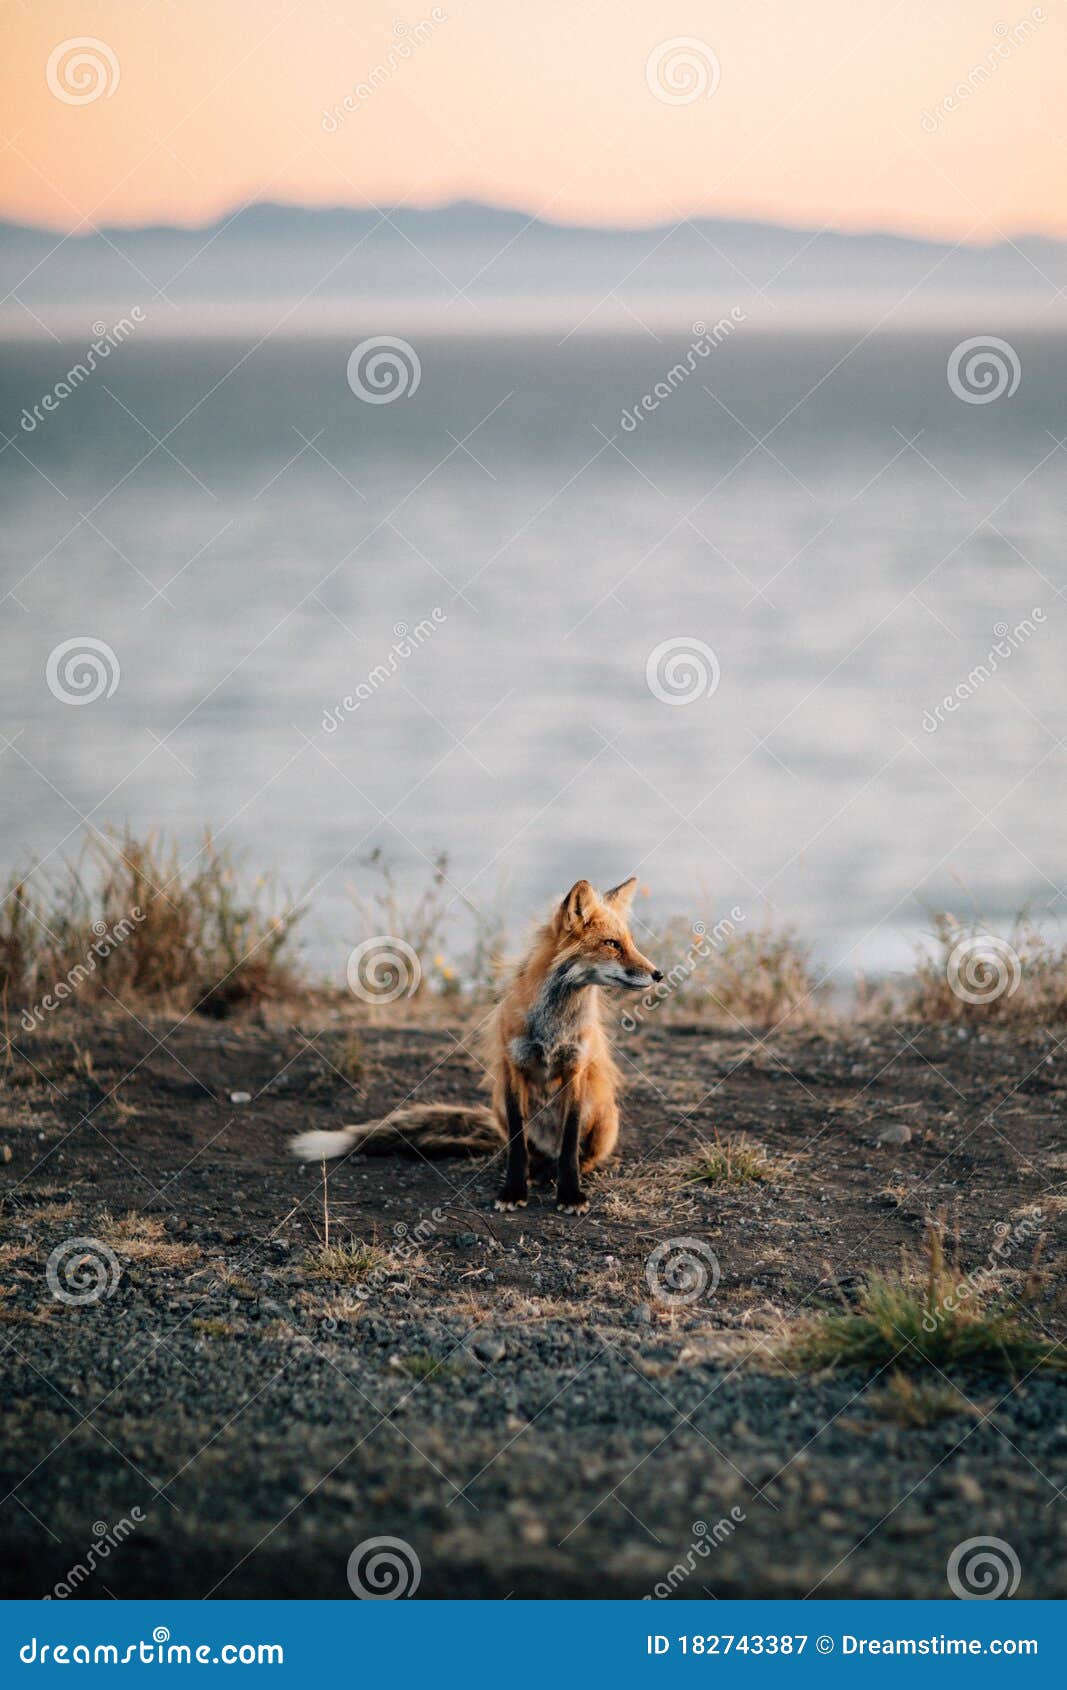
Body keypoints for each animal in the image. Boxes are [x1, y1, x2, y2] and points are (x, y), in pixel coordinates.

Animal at [291, 876, 662, 1214]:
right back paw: (536, 1172)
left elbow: (570, 1147)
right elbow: (517, 1145)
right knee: (528, 1150)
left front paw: (570, 1194)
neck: (552, 1025)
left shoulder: (575, 1067)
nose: (658, 974)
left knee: (578, 1156)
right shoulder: (513, 1067)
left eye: (630, 942)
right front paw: (514, 1190)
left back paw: (554, 1173)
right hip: (499, 1107)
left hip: (603, 1117)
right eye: (612, 943)